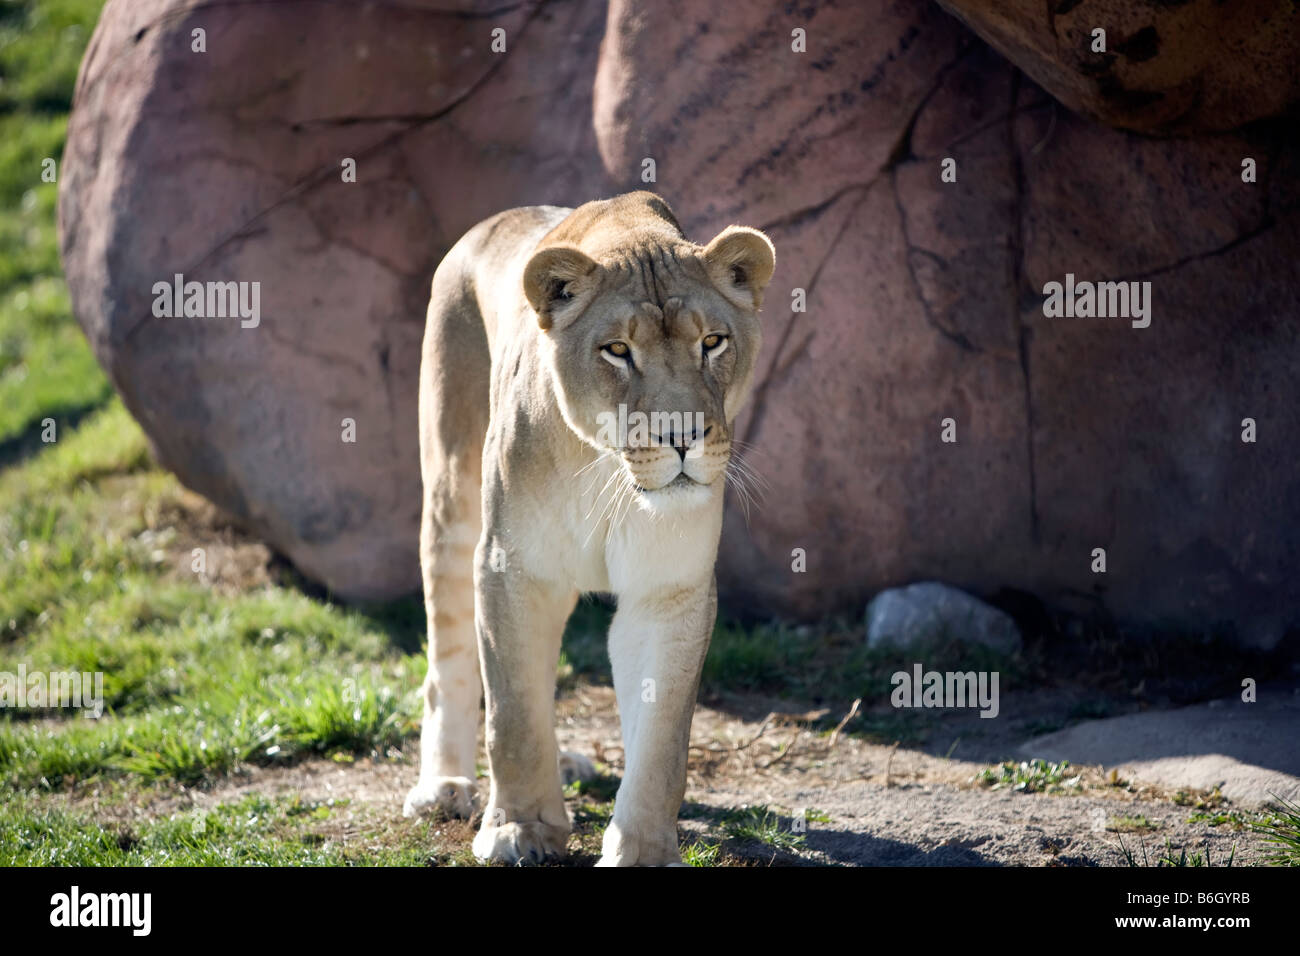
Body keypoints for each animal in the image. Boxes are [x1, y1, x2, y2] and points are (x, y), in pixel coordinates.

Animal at [402, 191, 775, 866]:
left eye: (712, 342)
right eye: (617, 351)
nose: (683, 438)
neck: (609, 471)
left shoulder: (669, 591)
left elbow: (661, 742)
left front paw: (643, 850)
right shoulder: (512, 569)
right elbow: (514, 716)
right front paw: (521, 828)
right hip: (450, 497)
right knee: (449, 663)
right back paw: (445, 787)